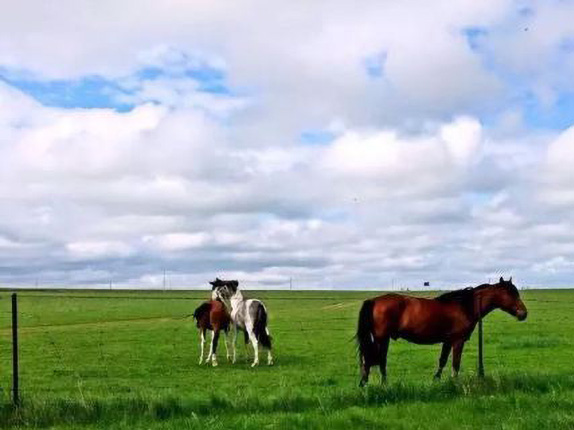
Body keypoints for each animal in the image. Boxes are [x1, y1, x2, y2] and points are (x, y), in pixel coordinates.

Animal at [358, 278, 528, 386]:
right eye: (510, 293)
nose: (524, 314)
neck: (465, 306)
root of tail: (374, 301)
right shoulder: (458, 341)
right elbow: (455, 364)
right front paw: (454, 383)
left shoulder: (447, 341)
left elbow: (442, 361)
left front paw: (437, 380)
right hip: (381, 339)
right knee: (377, 360)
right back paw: (379, 384)